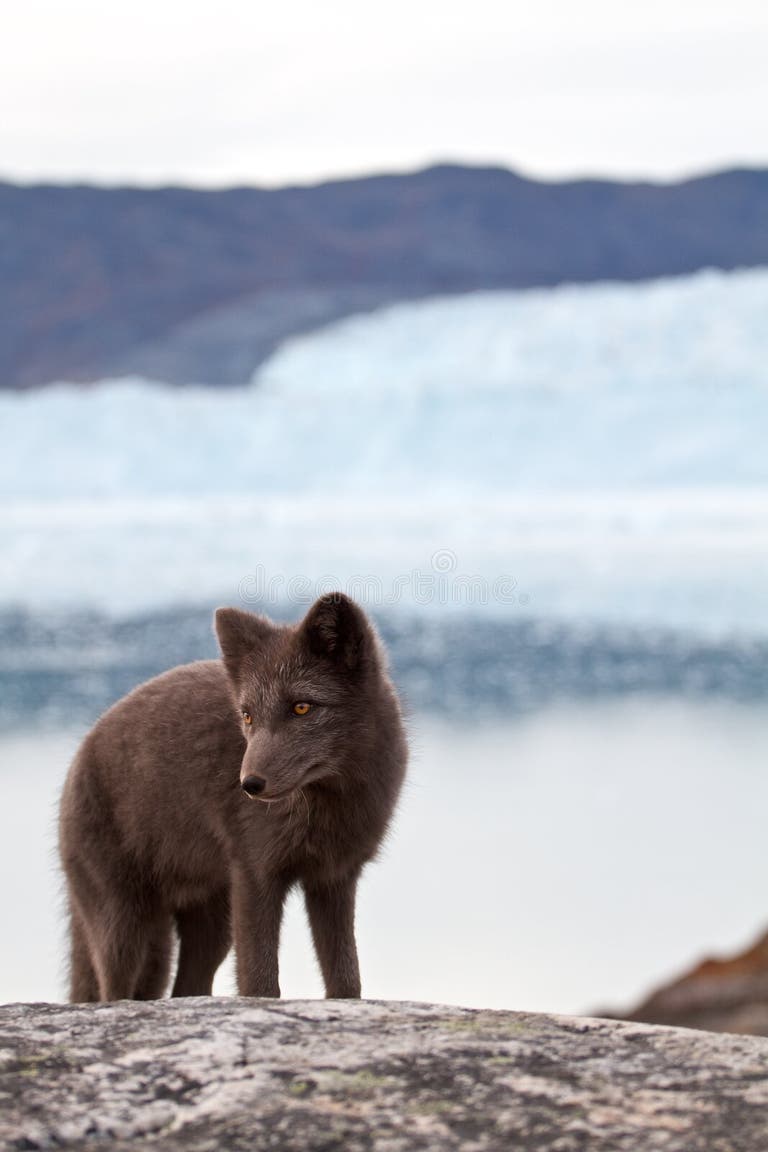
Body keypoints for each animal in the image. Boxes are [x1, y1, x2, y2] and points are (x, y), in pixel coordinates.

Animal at [58, 593, 407, 1002]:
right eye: (248, 715)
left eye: (301, 707)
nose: (249, 784)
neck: (326, 805)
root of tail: (81, 751)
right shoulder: (256, 872)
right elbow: (259, 983)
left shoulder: (334, 877)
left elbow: (347, 980)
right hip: (127, 926)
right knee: (113, 991)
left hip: (211, 927)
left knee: (186, 988)